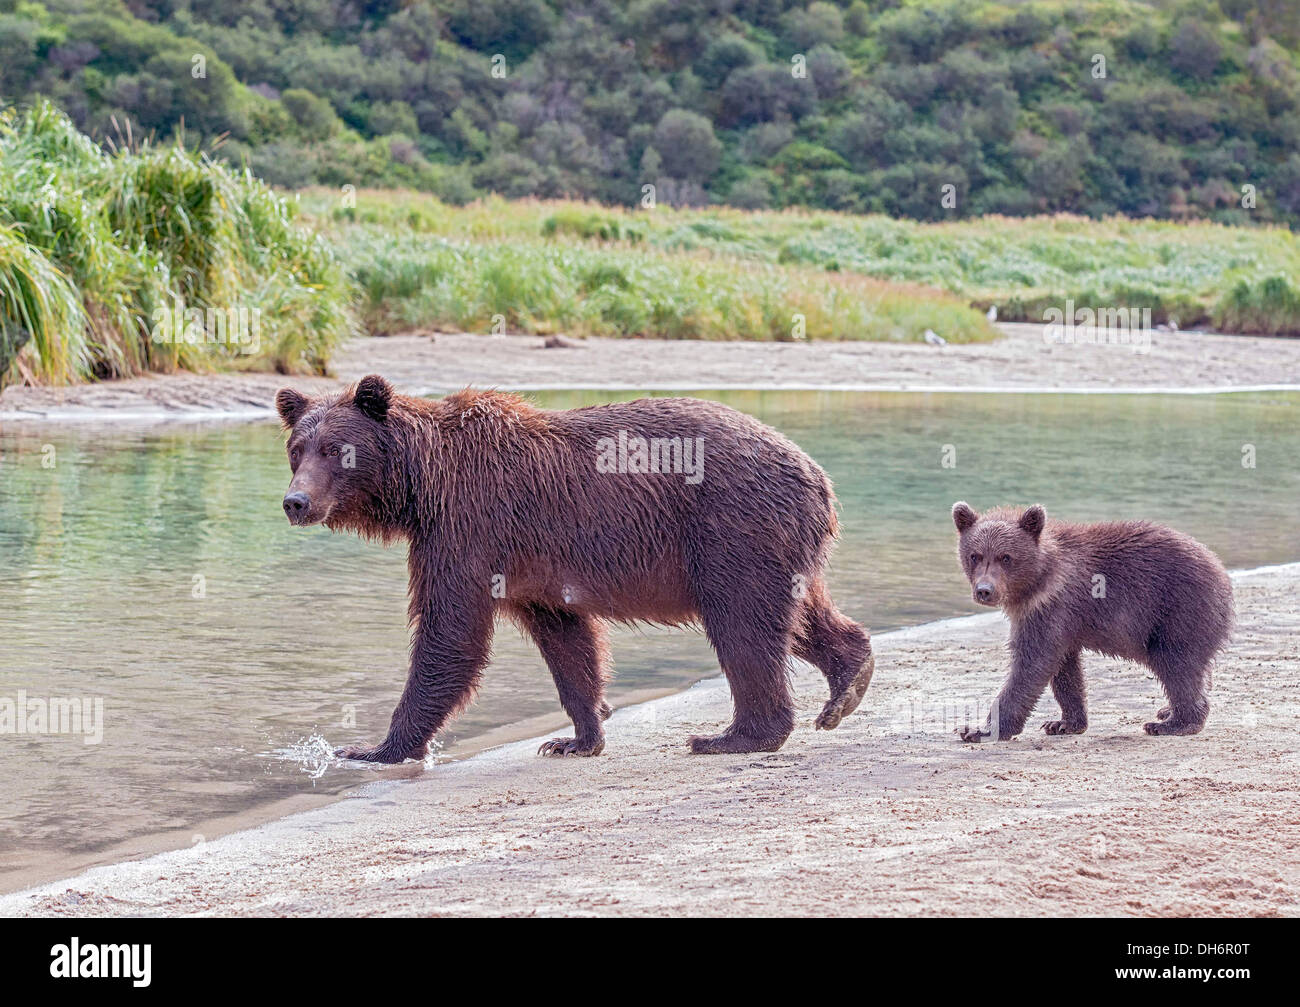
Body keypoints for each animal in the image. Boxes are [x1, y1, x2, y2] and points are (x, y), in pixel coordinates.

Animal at [275, 375, 874, 762]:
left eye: (336, 450)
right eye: (297, 447)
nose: (295, 501)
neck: (421, 486)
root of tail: (818, 475)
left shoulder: (467, 529)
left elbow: (450, 633)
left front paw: (374, 746)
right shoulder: (531, 565)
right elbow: (567, 642)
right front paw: (576, 736)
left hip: (732, 528)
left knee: (743, 622)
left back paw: (731, 736)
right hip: (772, 541)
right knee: (795, 613)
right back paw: (847, 681)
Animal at [950, 501, 1232, 742]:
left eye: (1006, 557)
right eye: (975, 555)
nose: (985, 590)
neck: (1037, 582)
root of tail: (1220, 569)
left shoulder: (1051, 608)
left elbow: (1032, 663)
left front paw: (979, 729)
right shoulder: (1061, 621)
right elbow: (1065, 670)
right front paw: (1064, 723)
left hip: (1179, 611)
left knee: (1176, 663)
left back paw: (1172, 723)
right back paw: (1167, 711)